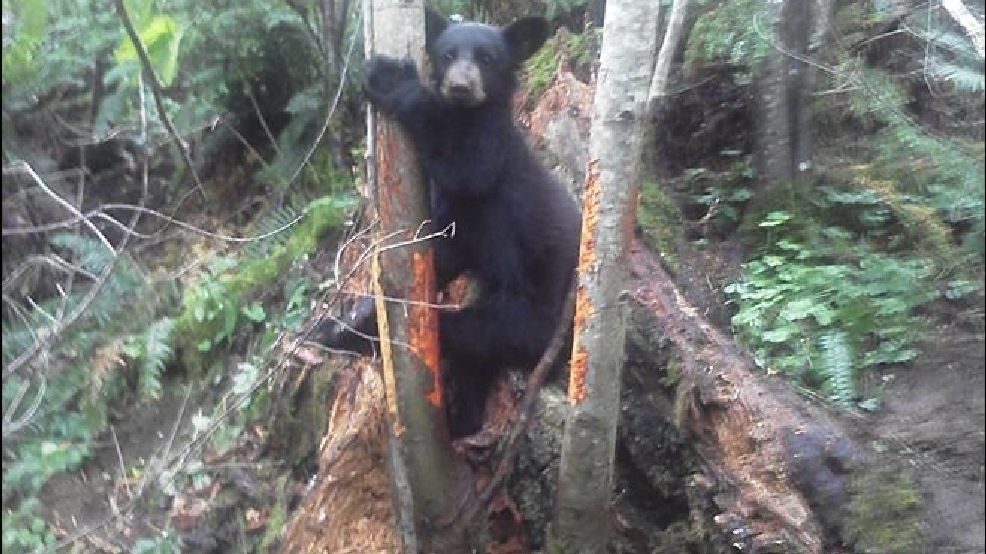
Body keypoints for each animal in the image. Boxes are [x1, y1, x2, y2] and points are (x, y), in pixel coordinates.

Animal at [316, 10, 581, 438]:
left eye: (487, 58)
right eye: (447, 54)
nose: (460, 86)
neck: (469, 115)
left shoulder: (490, 156)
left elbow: (467, 168)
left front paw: (389, 78)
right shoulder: (455, 223)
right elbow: (443, 250)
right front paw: (357, 310)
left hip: (529, 321)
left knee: (465, 334)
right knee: (475, 364)